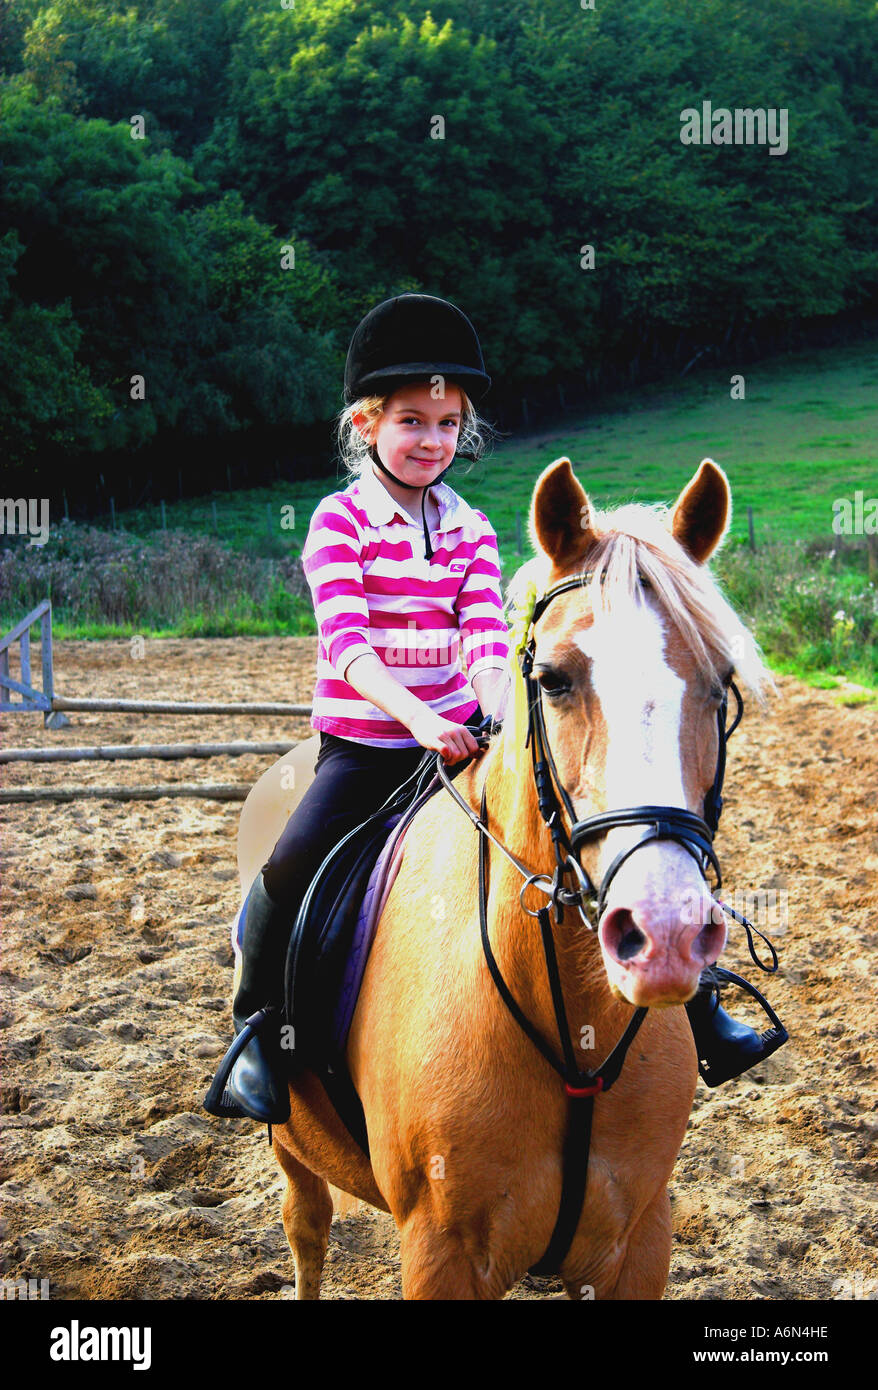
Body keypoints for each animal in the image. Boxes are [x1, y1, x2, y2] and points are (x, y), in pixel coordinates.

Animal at [233, 455, 770, 1299]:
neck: (572, 1030)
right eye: (551, 679)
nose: (664, 937)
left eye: (720, 683)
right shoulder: (442, 1251)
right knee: (307, 1232)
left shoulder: (638, 1239)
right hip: (289, 1144)